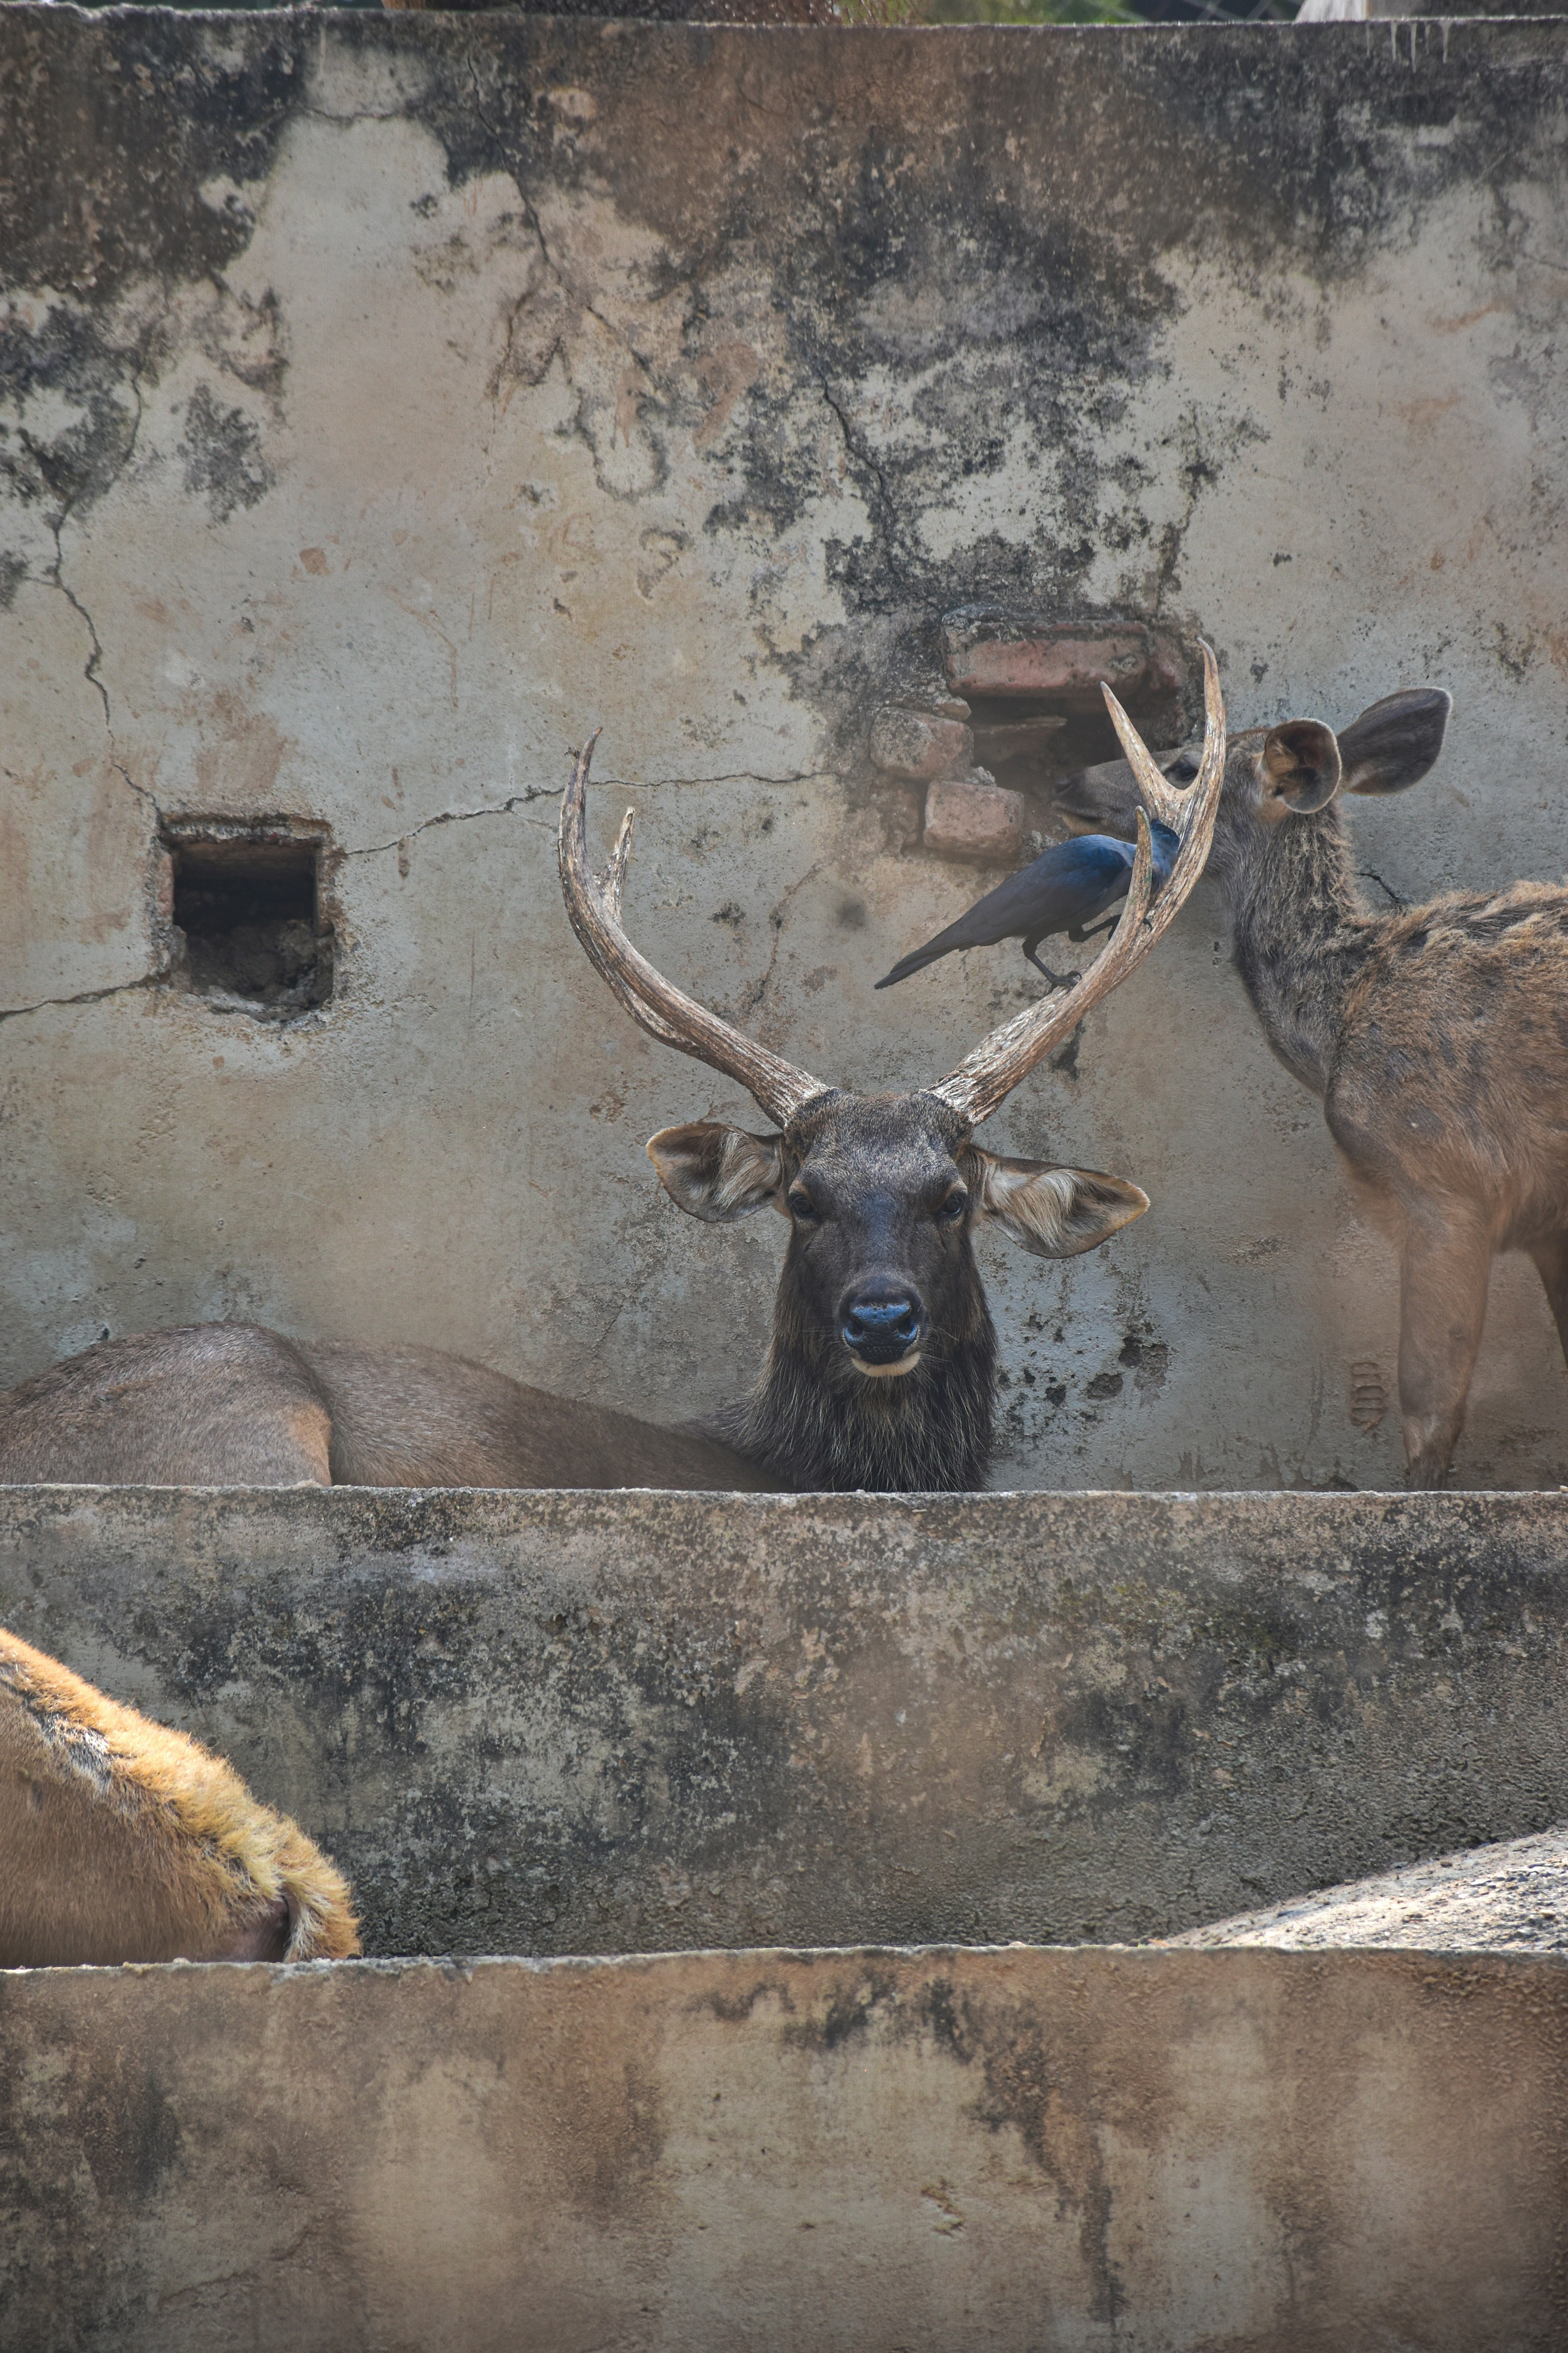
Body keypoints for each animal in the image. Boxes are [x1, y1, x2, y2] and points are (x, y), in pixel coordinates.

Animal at [1048, 680, 1568, 1489]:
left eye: (1184, 765)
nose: (1067, 781)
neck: (1338, 1014)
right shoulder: (1543, 1222)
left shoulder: (1446, 1183)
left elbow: (1427, 1398)